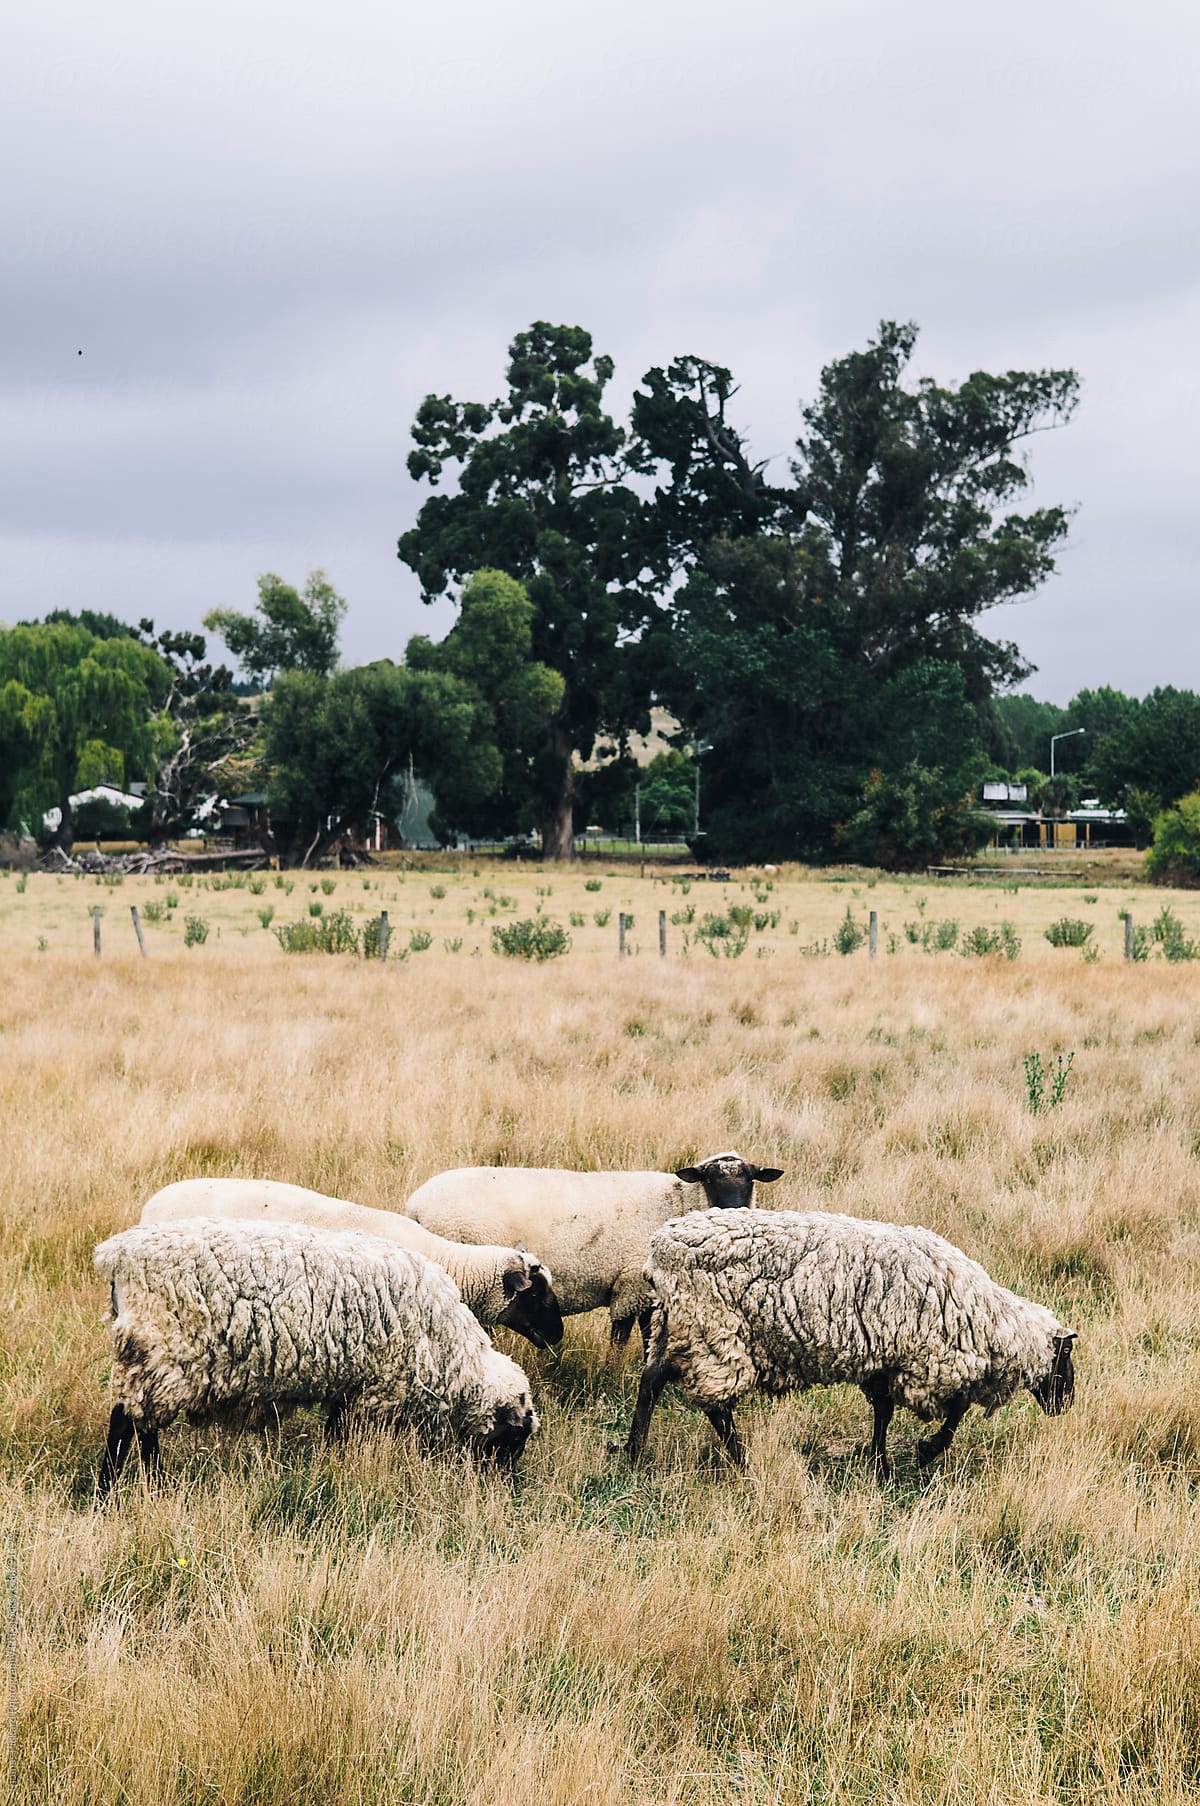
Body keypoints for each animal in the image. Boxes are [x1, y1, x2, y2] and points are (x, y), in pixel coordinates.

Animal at [94, 1218, 540, 1497]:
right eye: (514, 1438)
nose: (505, 1486)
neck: (447, 1349)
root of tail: (116, 1255)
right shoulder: (373, 1386)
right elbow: (343, 1432)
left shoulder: (348, 1381)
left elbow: (334, 1429)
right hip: (162, 1354)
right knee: (128, 1424)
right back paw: (116, 1491)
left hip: (154, 1361)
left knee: (141, 1425)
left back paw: (146, 1485)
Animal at [404, 1150, 785, 1347]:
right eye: (709, 1179)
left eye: (750, 1179)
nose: (735, 1211)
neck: (675, 1204)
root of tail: (415, 1205)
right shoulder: (632, 1286)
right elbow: (623, 1339)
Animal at [624, 1209, 1076, 1481]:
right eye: (1067, 1357)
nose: (1066, 1406)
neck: (990, 1321)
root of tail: (659, 1250)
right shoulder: (927, 1362)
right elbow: (955, 1412)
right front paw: (923, 1452)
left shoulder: (885, 1360)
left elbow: (884, 1412)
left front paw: (879, 1463)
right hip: (715, 1331)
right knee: (715, 1406)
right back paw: (742, 1460)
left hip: (675, 1326)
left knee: (651, 1382)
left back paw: (634, 1451)